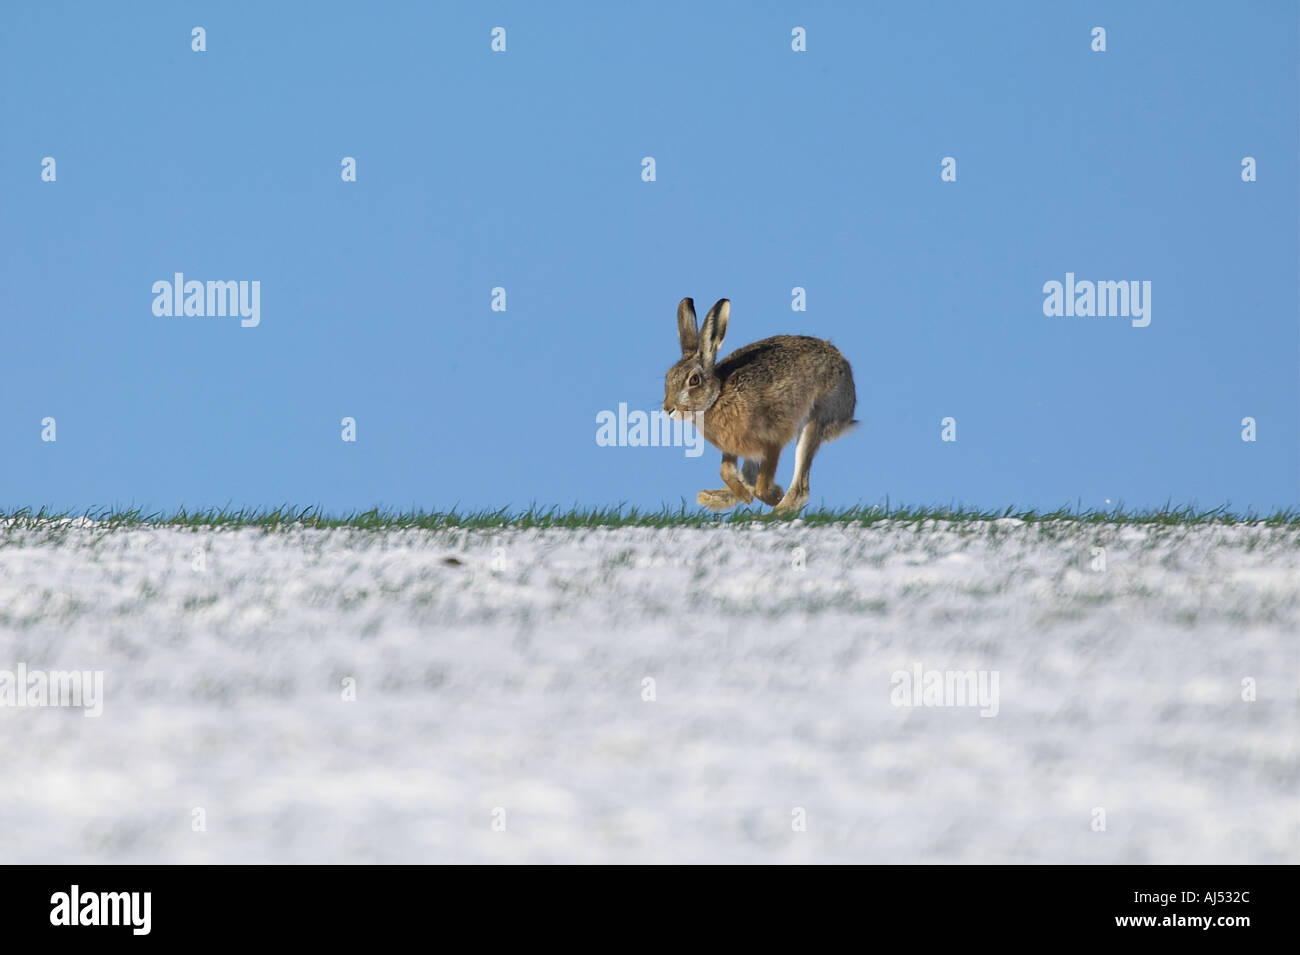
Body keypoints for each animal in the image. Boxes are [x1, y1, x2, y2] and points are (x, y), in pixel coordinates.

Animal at [663, 297, 857, 513]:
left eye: (694, 380)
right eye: (667, 378)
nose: (668, 409)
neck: (718, 396)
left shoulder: (772, 442)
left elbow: (761, 486)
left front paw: (773, 495)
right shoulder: (731, 448)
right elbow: (725, 471)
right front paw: (745, 496)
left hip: (815, 421)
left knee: (800, 488)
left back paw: (774, 511)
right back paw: (714, 497)